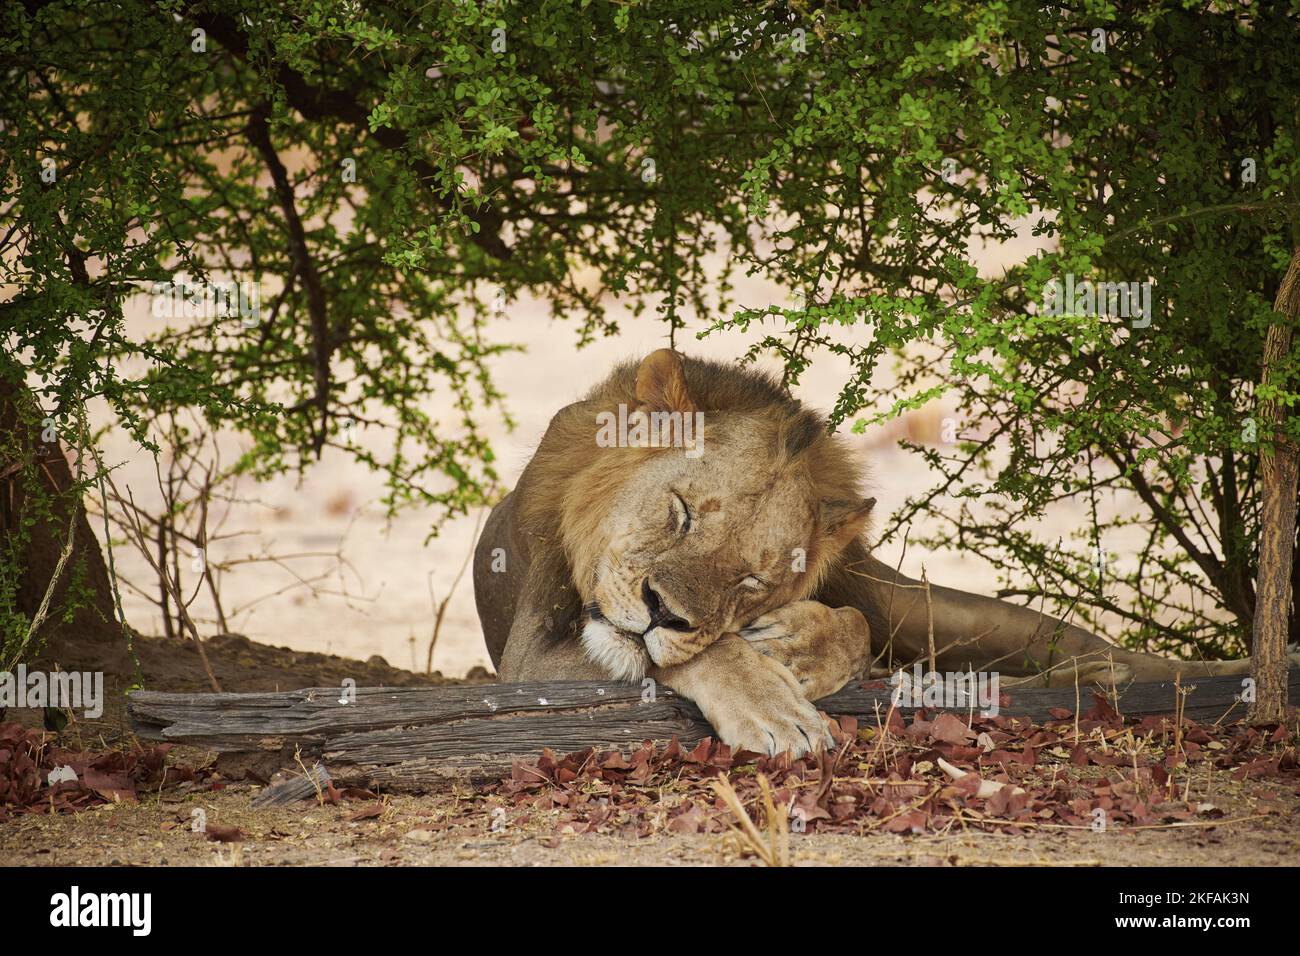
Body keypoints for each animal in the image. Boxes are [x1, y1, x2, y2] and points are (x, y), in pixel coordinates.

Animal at [474, 349, 1271, 757]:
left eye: (753, 580)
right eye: (680, 512)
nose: (659, 613)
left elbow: (843, 632)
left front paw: (799, 648)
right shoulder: (528, 662)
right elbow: (710, 654)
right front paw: (774, 705)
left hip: (921, 602)